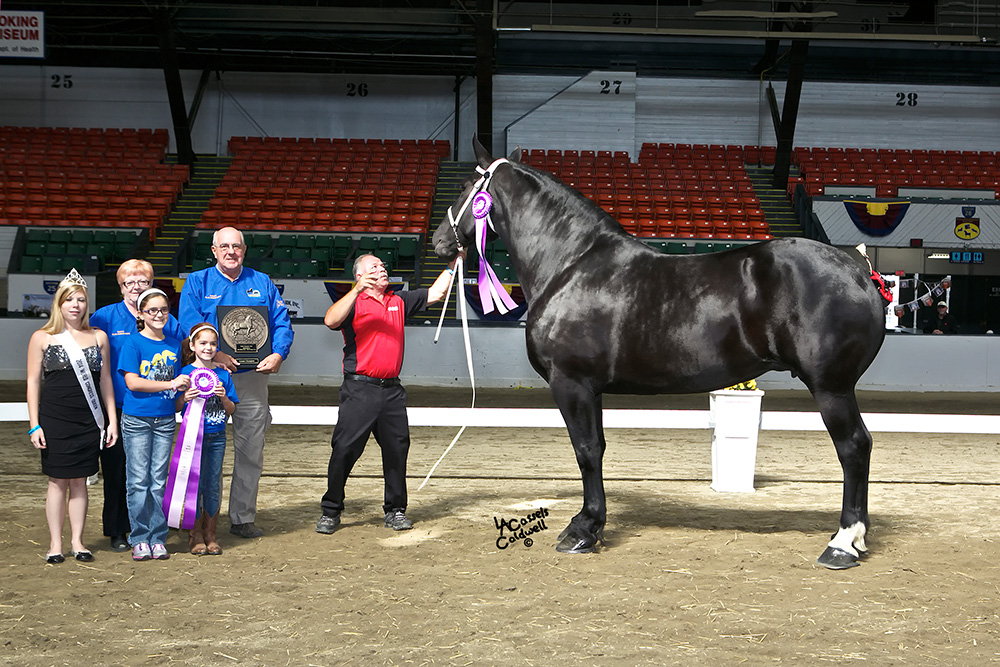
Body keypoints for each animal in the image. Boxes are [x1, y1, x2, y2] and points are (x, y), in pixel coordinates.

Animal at [432, 138, 886, 570]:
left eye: (466, 187)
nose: (439, 241)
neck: (570, 265)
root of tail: (859, 271)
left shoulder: (571, 383)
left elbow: (586, 452)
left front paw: (582, 530)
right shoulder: (591, 389)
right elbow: (597, 446)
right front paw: (591, 524)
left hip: (831, 387)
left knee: (853, 448)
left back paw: (842, 543)